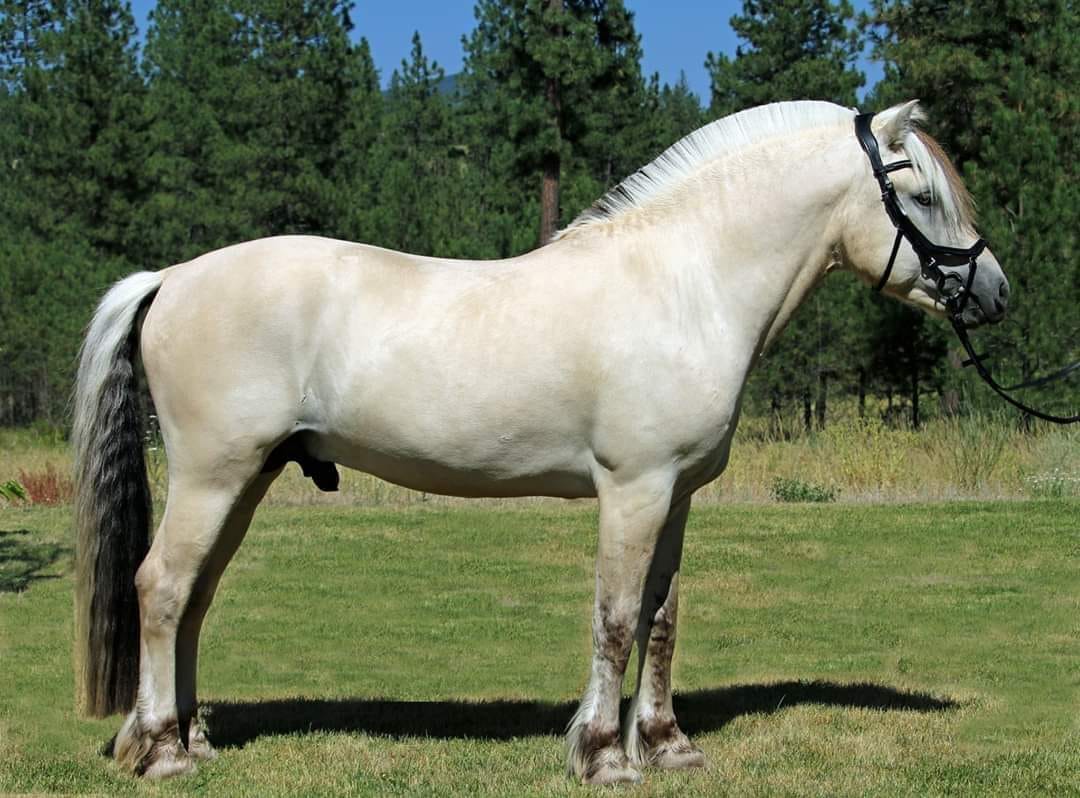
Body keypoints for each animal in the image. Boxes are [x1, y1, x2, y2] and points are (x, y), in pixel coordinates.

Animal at [72, 100, 1009, 785]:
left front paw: (667, 746)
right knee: (161, 588)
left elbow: (663, 619)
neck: (687, 284)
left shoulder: (677, 495)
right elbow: (616, 617)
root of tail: (170, 278)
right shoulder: (633, 490)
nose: (993, 293)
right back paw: (159, 752)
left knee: (195, 598)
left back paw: (190, 738)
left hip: (247, 479)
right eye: (921, 195)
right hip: (213, 476)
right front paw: (603, 757)